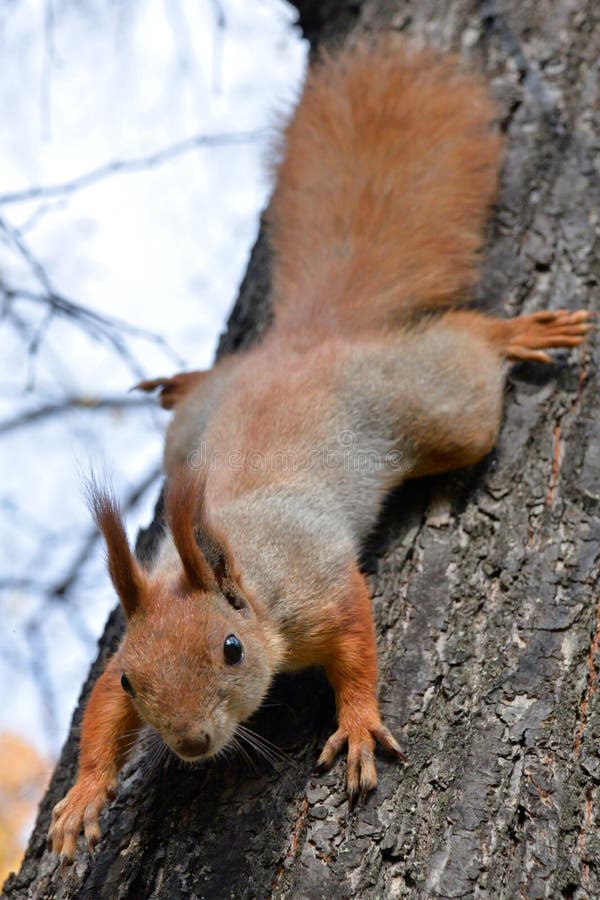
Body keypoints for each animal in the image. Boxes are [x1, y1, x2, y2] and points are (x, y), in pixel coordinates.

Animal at [49, 36, 591, 864]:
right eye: (140, 682)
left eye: (231, 649)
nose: (193, 741)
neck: (234, 565)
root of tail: (312, 339)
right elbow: (99, 713)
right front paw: (83, 793)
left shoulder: (319, 588)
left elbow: (359, 644)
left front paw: (360, 724)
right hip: (193, 427)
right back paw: (186, 377)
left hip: (440, 411)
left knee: (470, 353)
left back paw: (514, 333)